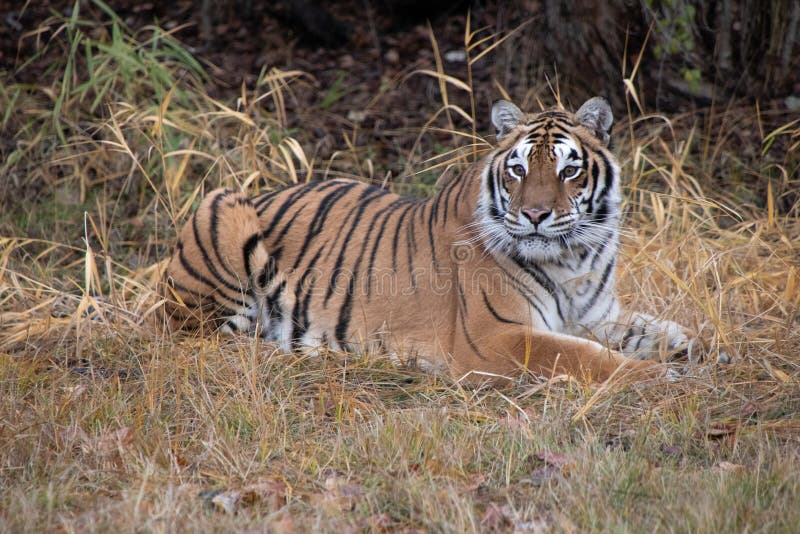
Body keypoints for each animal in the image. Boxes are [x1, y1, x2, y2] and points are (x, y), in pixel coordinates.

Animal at [162, 96, 716, 383]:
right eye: (518, 170)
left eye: (569, 170)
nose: (535, 215)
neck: (574, 255)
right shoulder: (495, 338)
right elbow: (582, 356)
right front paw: (652, 377)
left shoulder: (596, 315)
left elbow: (659, 330)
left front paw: (702, 350)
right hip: (222, 208)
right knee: (215, 342)